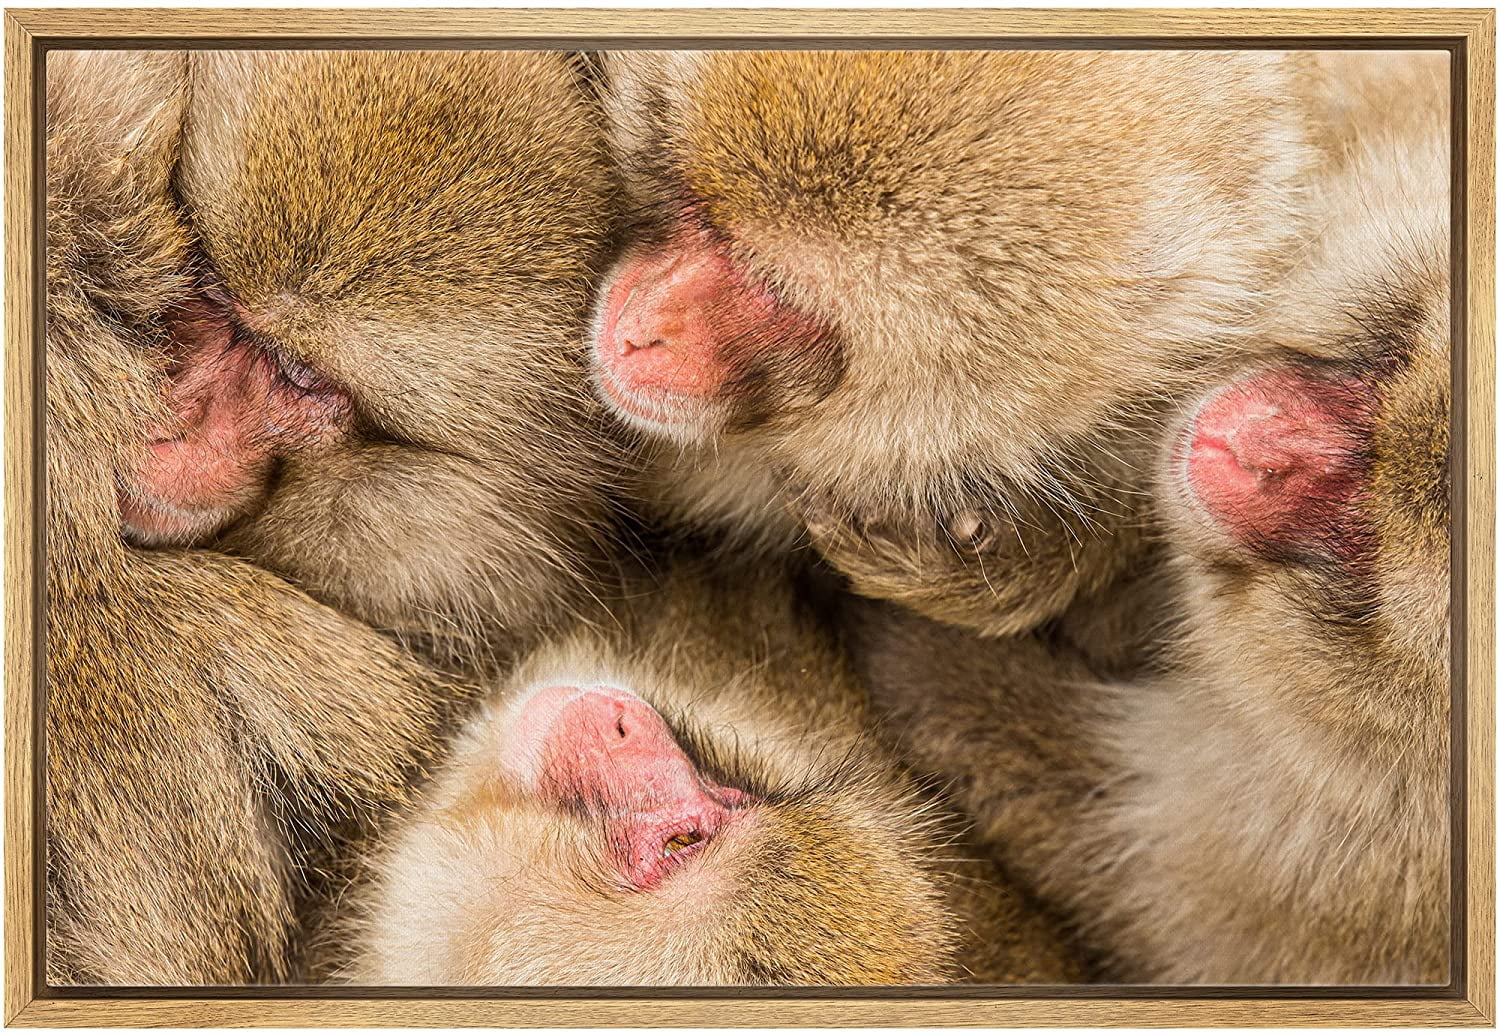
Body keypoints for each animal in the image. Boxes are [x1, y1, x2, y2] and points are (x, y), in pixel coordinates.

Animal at [845, 81, 1452, 983]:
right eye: (1391, 354)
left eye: (1364, 546)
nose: (1254, 448)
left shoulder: (1354, 864)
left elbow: (1132, 858)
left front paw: (912, 647)